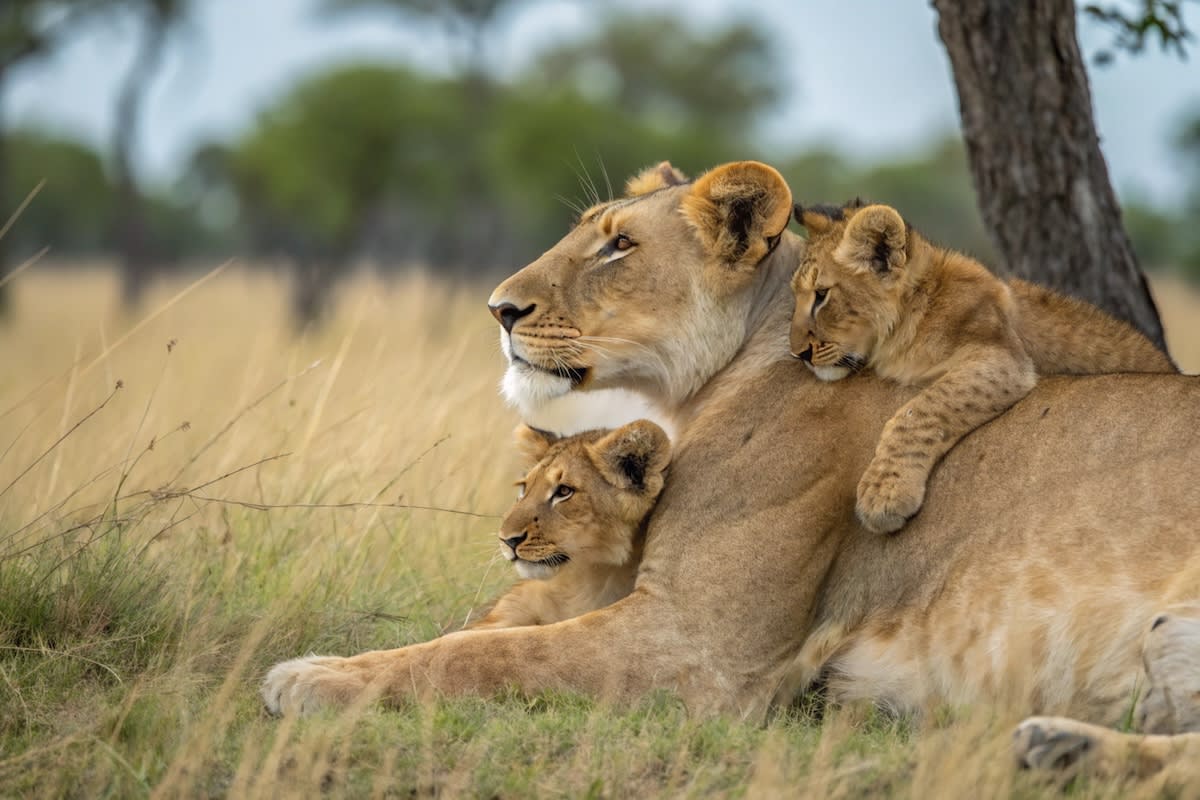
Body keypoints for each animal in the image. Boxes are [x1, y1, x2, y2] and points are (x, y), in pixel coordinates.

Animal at [789, 201, 1175, 534]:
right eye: (796, 294)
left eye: (821, 295)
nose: (798, 353)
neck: (912, 315)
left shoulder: (1002, 358)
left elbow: (917, 411)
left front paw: (884, 494)